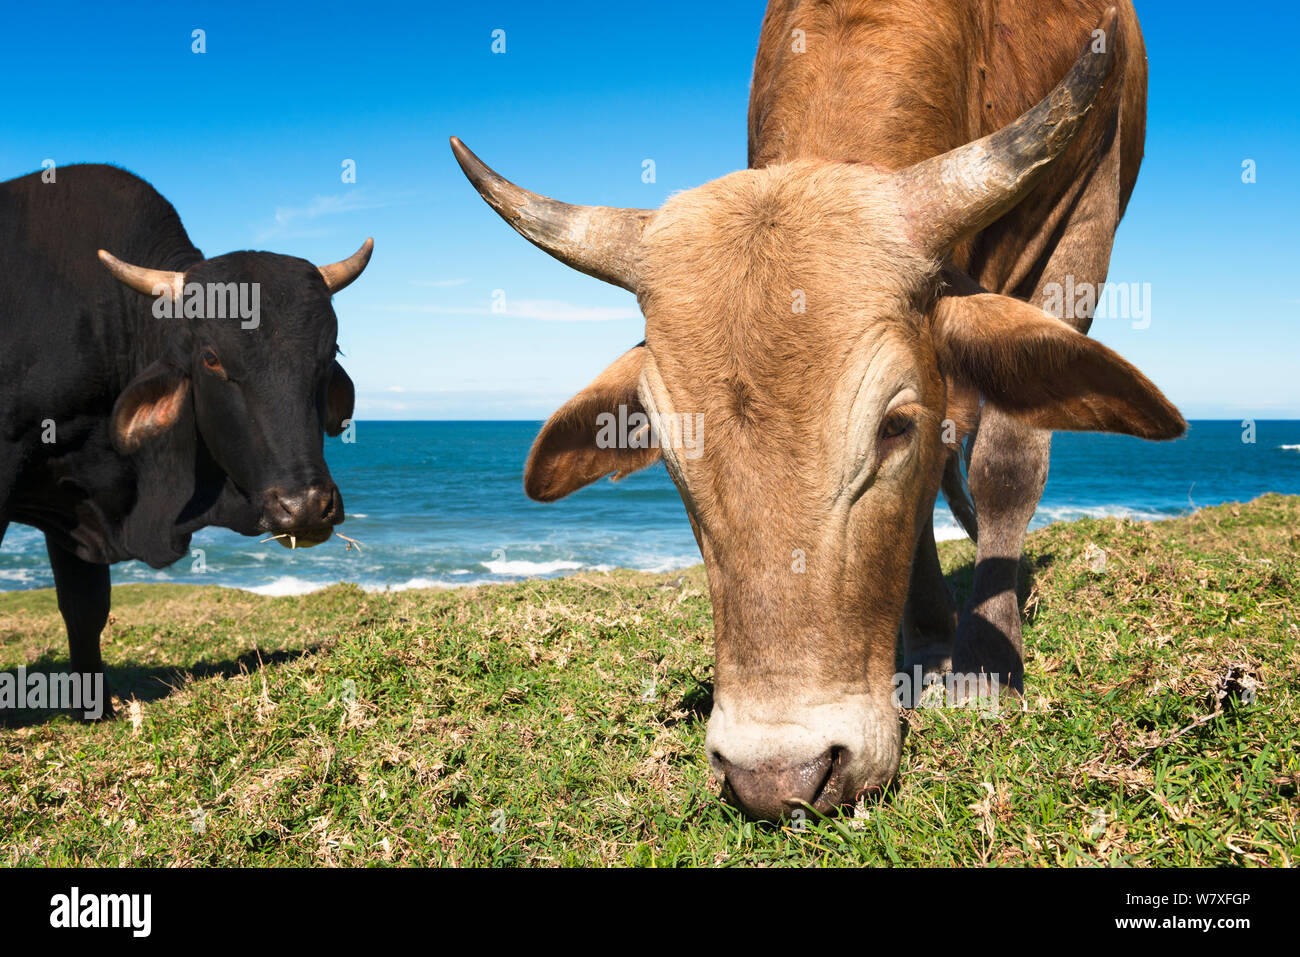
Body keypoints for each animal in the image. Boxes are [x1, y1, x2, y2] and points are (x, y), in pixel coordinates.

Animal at [453, 0, 1185, 819]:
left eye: (893, 427)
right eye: (669, 452)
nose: (777, 776)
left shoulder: (1086, 220)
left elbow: (1007, 461)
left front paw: (982, 666)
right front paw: (926, 643)